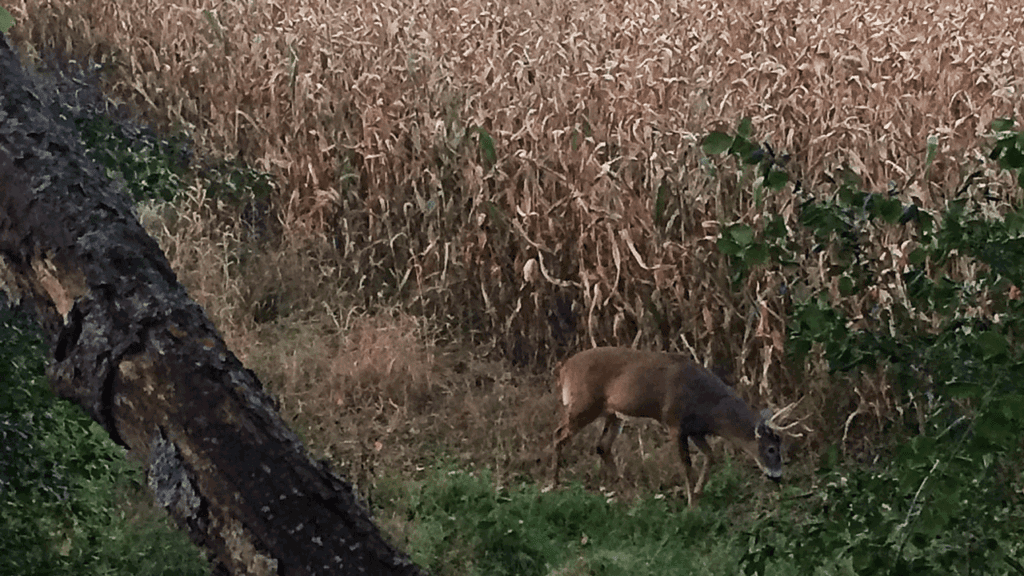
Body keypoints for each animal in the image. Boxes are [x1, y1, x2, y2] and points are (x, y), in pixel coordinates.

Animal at [549, 346, 785, 507]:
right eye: (771, 449)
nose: (778, 476)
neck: (709, 407)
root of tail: (564, 368)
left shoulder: (696, 429)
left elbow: (711, 456)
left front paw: (698, 492)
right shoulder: (675, 422)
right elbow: (686, 464)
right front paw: (691, 502)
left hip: (613, 413)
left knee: (602, 445)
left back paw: (626, 488)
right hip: (584, 403)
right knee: (559, 434)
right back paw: (554, 483)